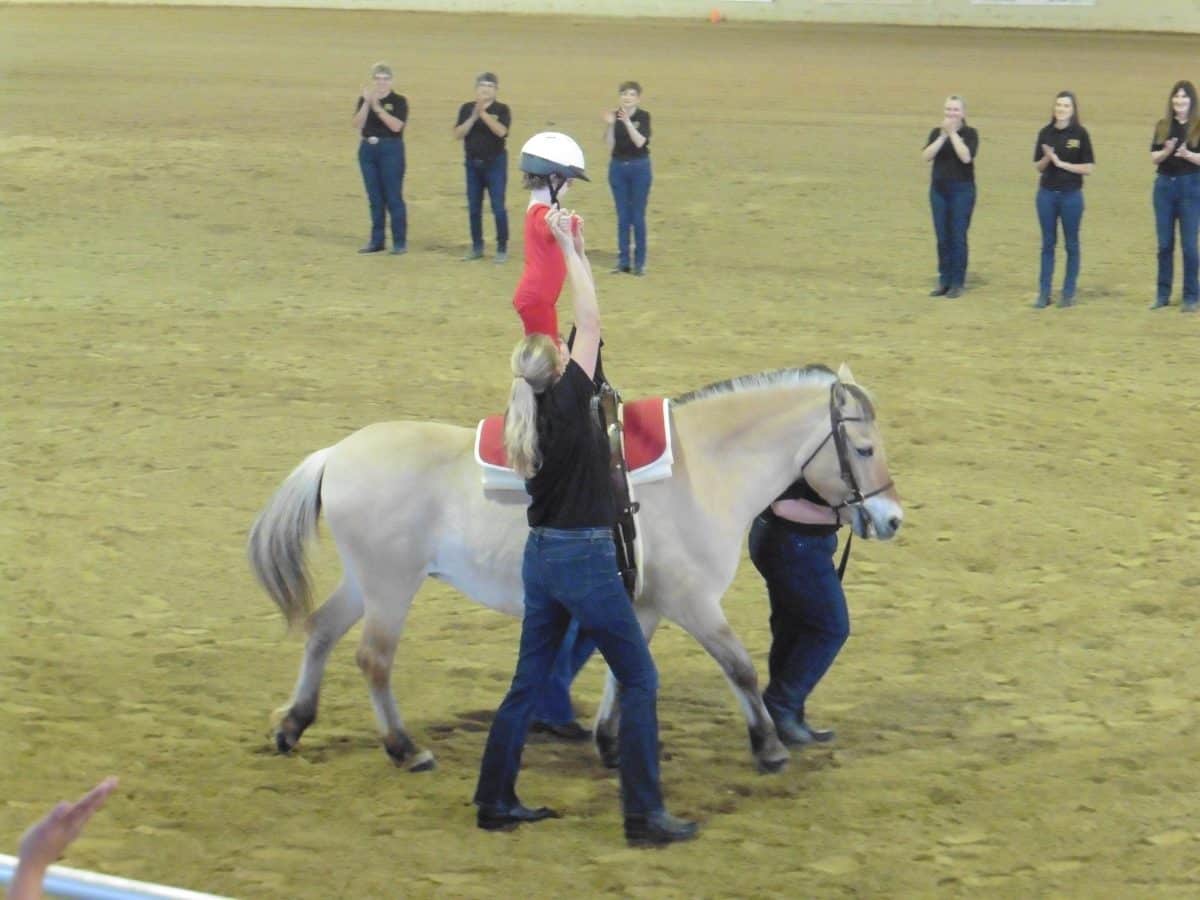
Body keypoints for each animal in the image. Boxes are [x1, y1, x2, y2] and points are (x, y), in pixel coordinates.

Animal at [248, 363, 903, 774]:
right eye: (864, 449)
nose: (891, 519)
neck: (700, 473)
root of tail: (336, 454)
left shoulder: (643, 605)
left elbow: (623, 671)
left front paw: (609, 742)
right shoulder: (692, 602)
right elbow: (739, 668)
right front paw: (768, 747)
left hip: (364, 581)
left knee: (322, 632)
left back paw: (292, 725)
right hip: (391, 586)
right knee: (373, 659)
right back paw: (406, 749)